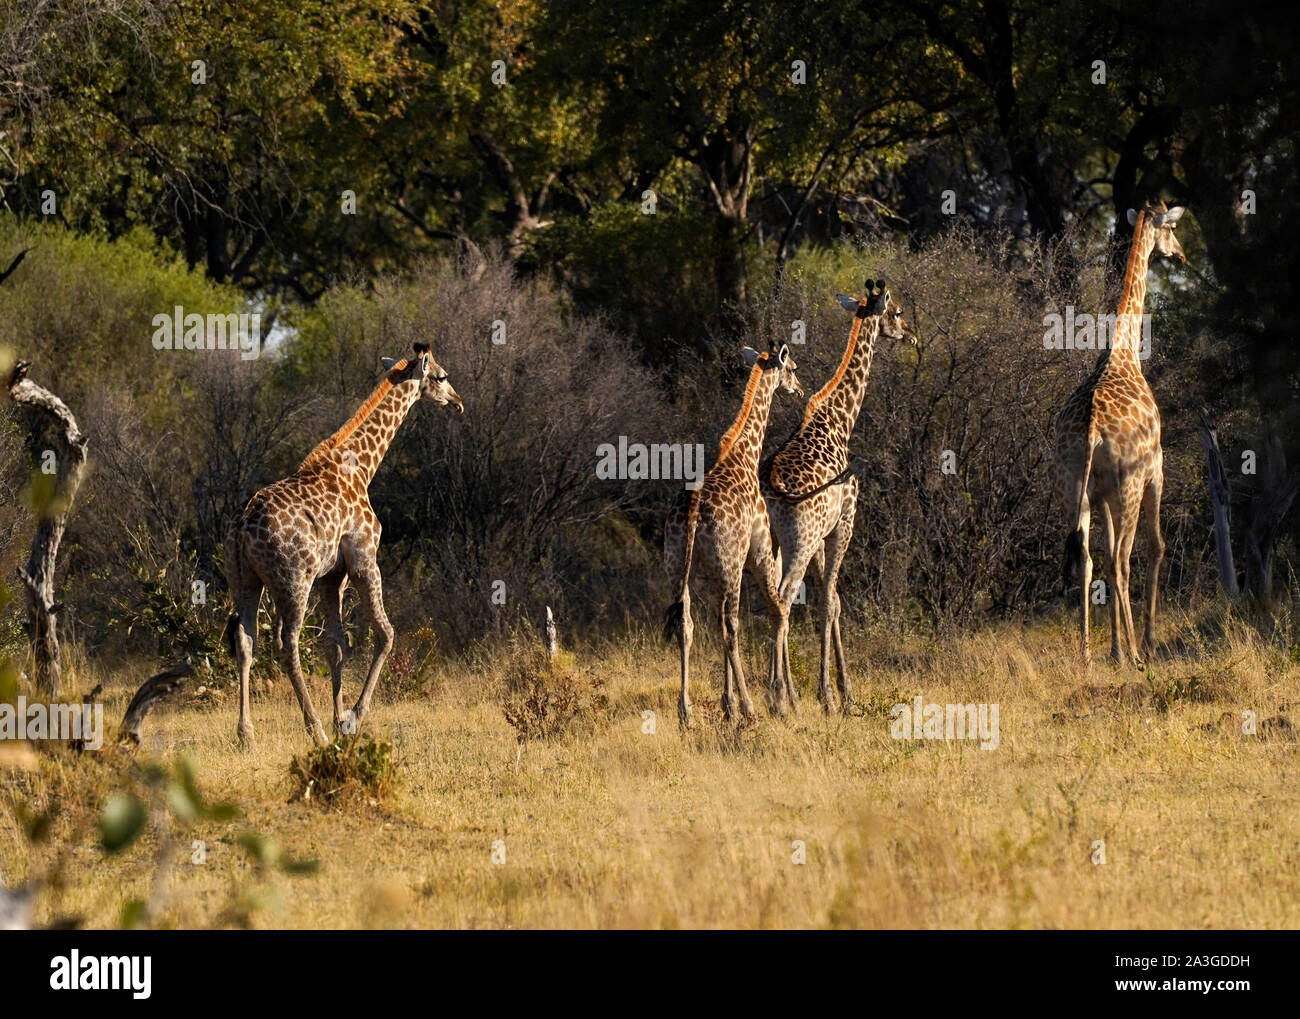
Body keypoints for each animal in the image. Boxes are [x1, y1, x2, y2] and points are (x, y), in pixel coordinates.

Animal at [223, 343, 463, 745]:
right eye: (442, 376)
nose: (457, 402)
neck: (361, 467)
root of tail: (242, 530)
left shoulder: (331, 576)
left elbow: (335, 645)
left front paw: (339, 721)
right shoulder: (364, 560)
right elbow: (385, 634)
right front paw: (352, 718)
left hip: (245, 579)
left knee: (245, 641)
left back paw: (247, 734)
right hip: (293, 580)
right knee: (287, 643)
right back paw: (314, 729)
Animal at [662, 341, 803, 727]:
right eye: (792, 368)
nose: (800, 389)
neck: (745, 453)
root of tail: (694, 510)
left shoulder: (712, 568)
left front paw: (726, 703)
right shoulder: (754, 551)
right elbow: (754, 618)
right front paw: (742, 703)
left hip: (677, 563)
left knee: (687, 625)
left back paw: (686, 712)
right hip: (730, 563)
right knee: (733, 626)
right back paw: (752, 706)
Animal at [762, 279, 916, 715]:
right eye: (896, 312)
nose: (911, 334)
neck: (840, 418)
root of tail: (771, 487)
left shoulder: (823, 534)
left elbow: (833, 602)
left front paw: (842, 690)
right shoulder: (844, 522)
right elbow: (830, 603)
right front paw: (832, 696)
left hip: (771, 542)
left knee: (773, 599)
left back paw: (782, 695)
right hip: (799, 540)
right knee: (784, 598)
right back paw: (779, 698)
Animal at [1055, 200, 1186, 666]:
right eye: (1173, 229)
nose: (1182, 256)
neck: (1124, 350)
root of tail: (1093, 430)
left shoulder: (1101, 493)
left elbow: (1103, 555)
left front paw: (1112, 648)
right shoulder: (1157, 469)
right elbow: (1157, 546)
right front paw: (1142, 642)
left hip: (1072, 486)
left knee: (1088, 557)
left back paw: (1087, 653)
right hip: (1129, 484)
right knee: (1123, 559)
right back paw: (1136, 652)